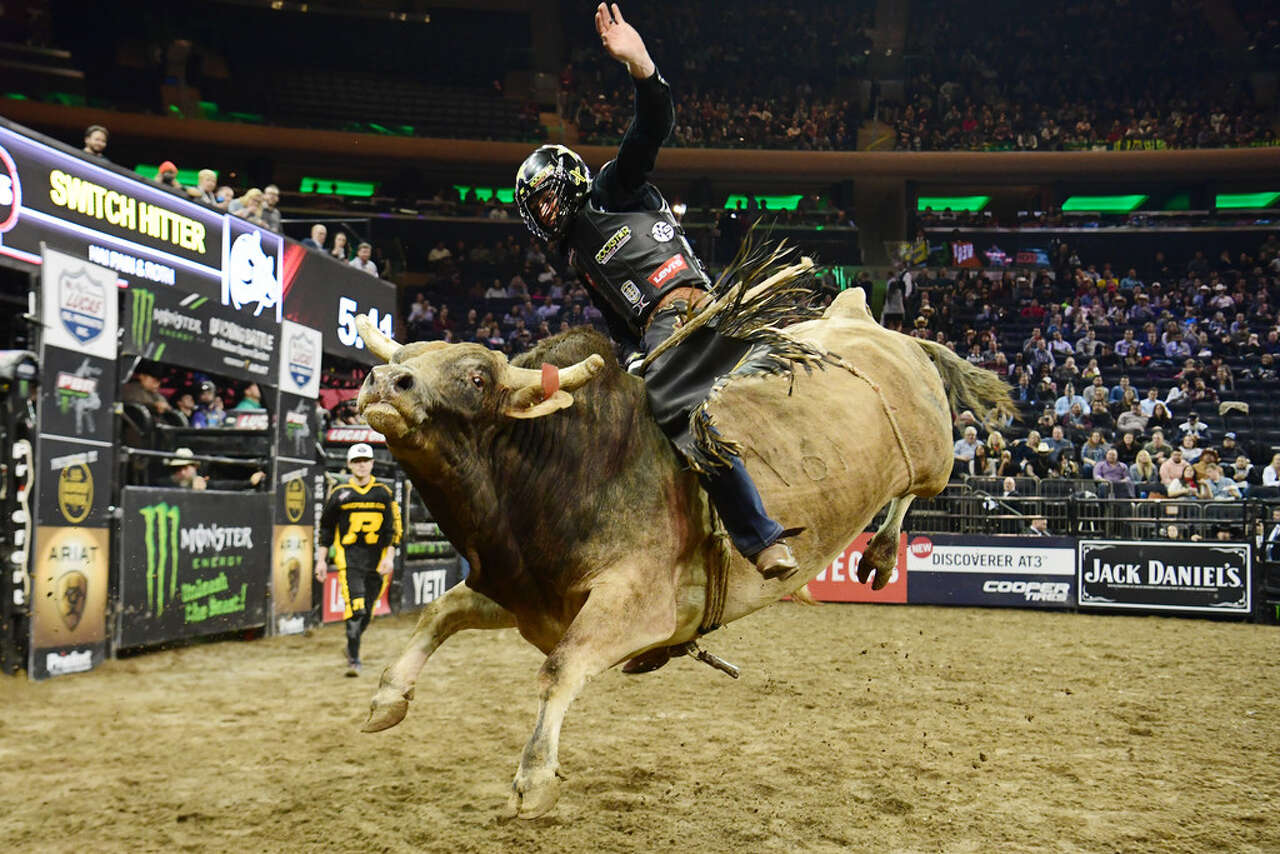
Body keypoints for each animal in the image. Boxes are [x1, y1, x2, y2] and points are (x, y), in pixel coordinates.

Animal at [353, 288, 1012, 818]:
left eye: (477, 378)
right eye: (404, 360)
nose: (384, 384)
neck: (570, 464)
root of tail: (885, 330)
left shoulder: (637, 604)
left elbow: (560, 667)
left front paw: (533, 780)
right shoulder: (524, 595)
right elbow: (439, 612)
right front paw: (387, 699)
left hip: (934, 453)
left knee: (916, 490)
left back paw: (879, 552)